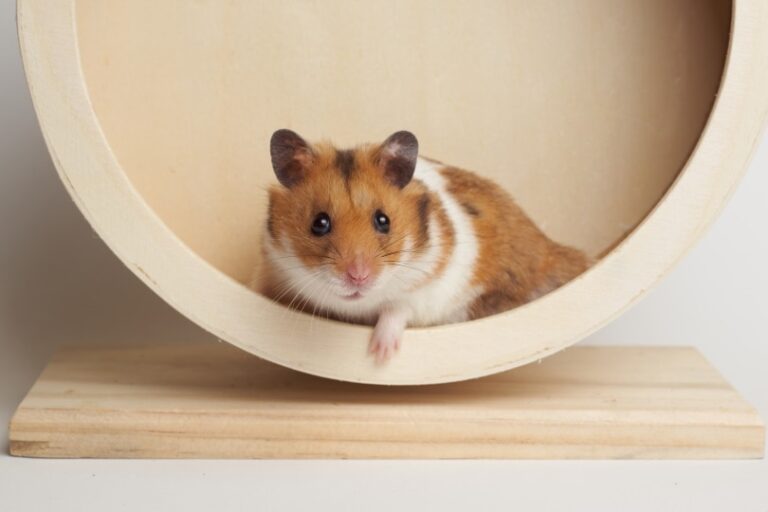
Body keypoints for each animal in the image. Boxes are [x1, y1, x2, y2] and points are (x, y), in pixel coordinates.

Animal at [258, 129, 590, 361]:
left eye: (383, 220)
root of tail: (550, 249)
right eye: (319, 223)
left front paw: (380, 355)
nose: (358, 277)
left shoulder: (428, 288)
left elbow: (397, 309)